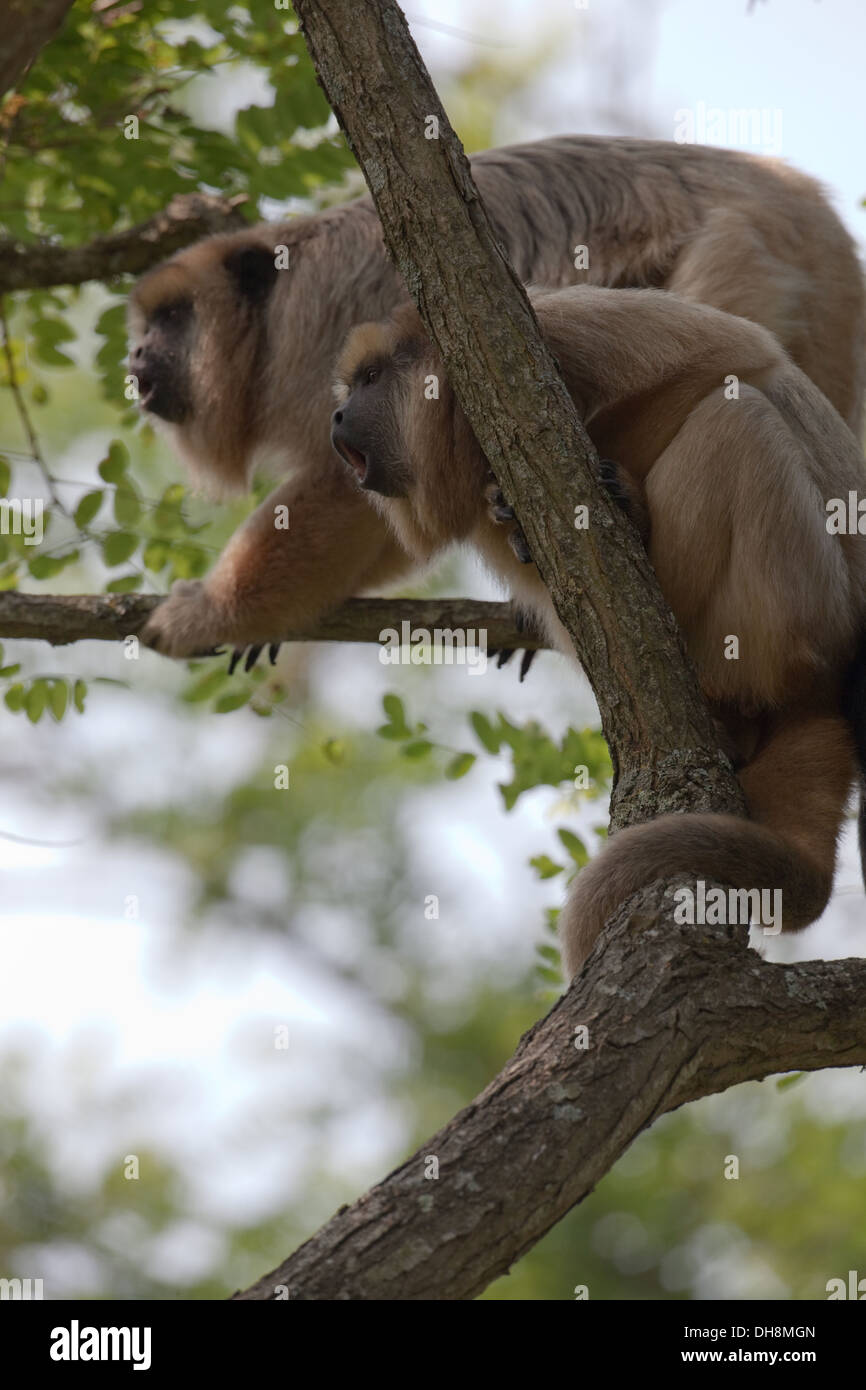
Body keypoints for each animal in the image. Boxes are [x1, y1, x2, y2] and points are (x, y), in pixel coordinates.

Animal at [127, 135, 865, 661]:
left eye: (172, 320)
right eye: (147, 326)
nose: (133, 354)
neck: (274, 323)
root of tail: (813, 210)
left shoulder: (329, 335)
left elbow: (344, 493)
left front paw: (213, 613)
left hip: (742, 251)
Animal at [329, 285, 866, 979]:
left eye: (371, 379)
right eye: (351, 387)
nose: (336, 417)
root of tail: (823, 691)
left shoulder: (559, 324)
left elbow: (735, 356)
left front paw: (627, 495)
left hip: (796, 611)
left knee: (738, 416)